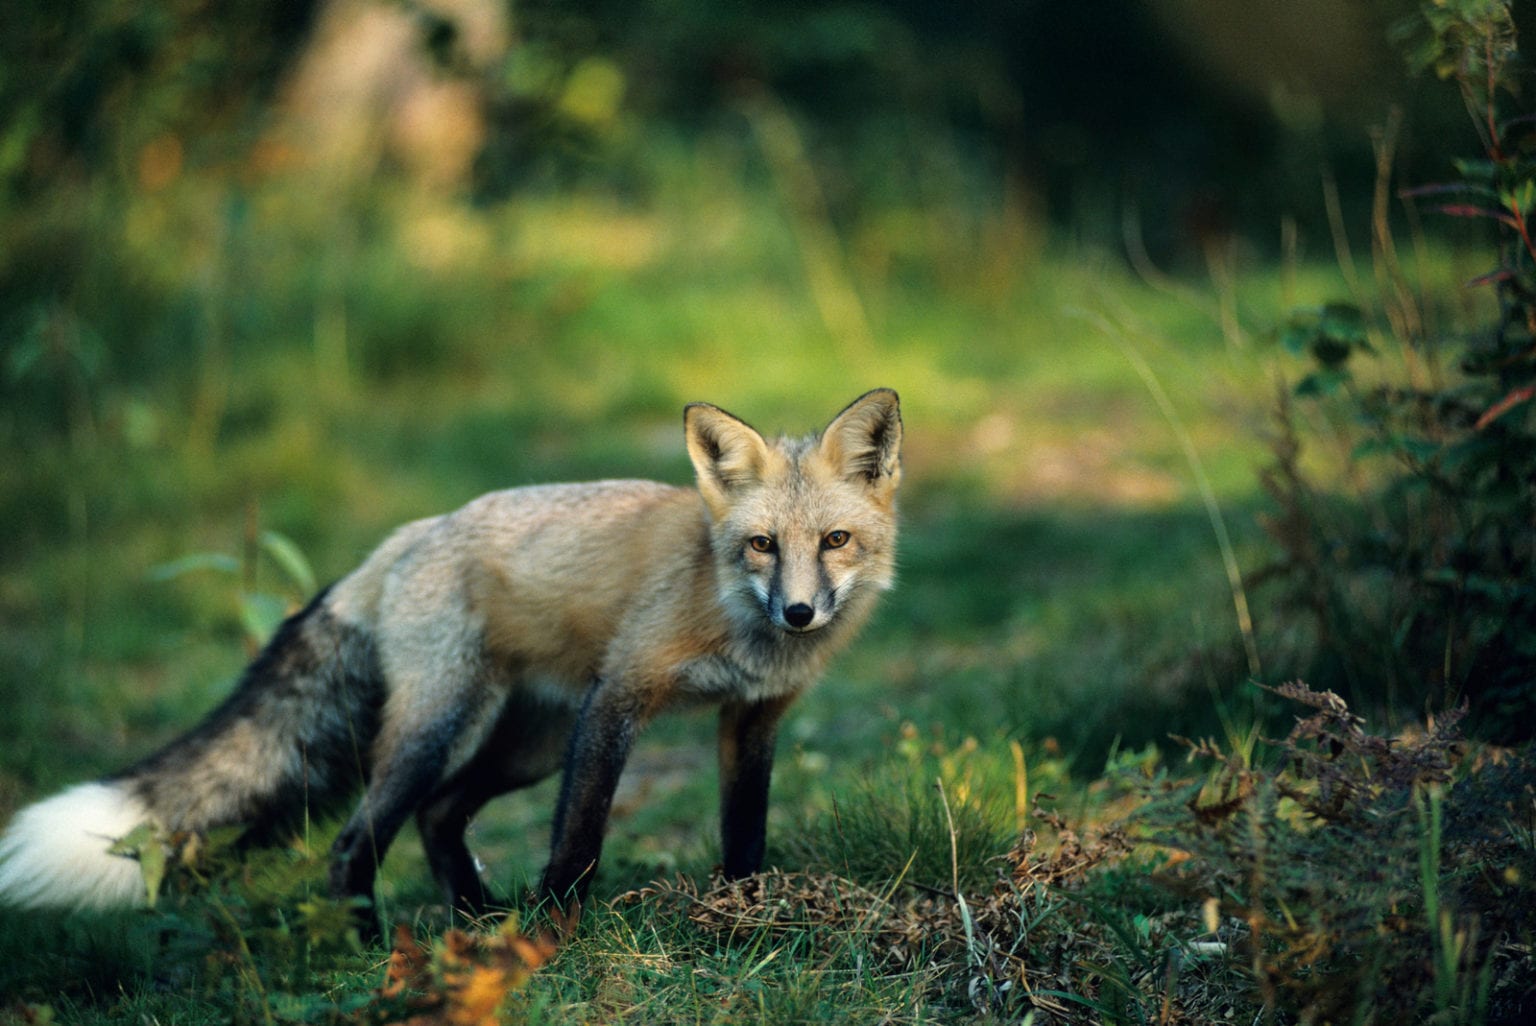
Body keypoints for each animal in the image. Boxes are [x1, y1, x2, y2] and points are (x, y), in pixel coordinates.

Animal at [0, 389, 902, 934]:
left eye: (835, 540)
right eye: (761, 545)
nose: (798, 612)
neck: (734, 614)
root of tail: (406, 537)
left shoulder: (753, 716)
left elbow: (745, 832)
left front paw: (748, 916)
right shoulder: (621, 695)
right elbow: (579, 838)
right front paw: (553, 934)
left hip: (533, 742)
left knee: (439, 816)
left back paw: (473, 916)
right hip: (445, 723)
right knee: (356, 840)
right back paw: (366, 941)